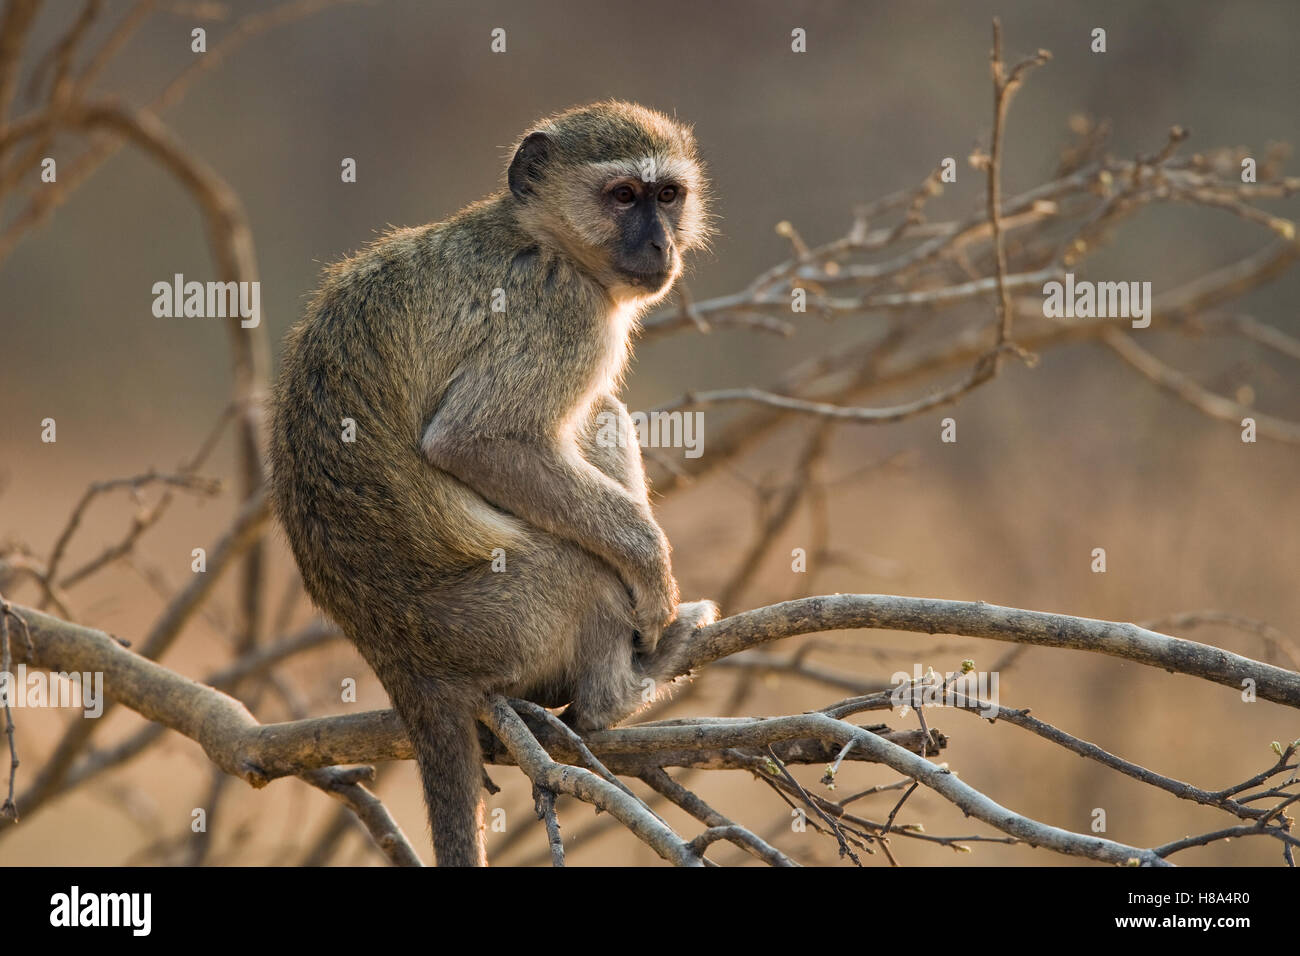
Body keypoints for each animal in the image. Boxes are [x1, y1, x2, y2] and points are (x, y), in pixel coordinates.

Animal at [270, 101, 718, 866]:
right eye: (622, 196)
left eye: (667, 196)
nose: (660, 245)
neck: (540, 235)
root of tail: (399, 658)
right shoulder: (560, 314)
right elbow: (476, 439)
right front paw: (654, 575)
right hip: (504, 619)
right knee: (584, 545)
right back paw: (619, 692)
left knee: (599, 414)